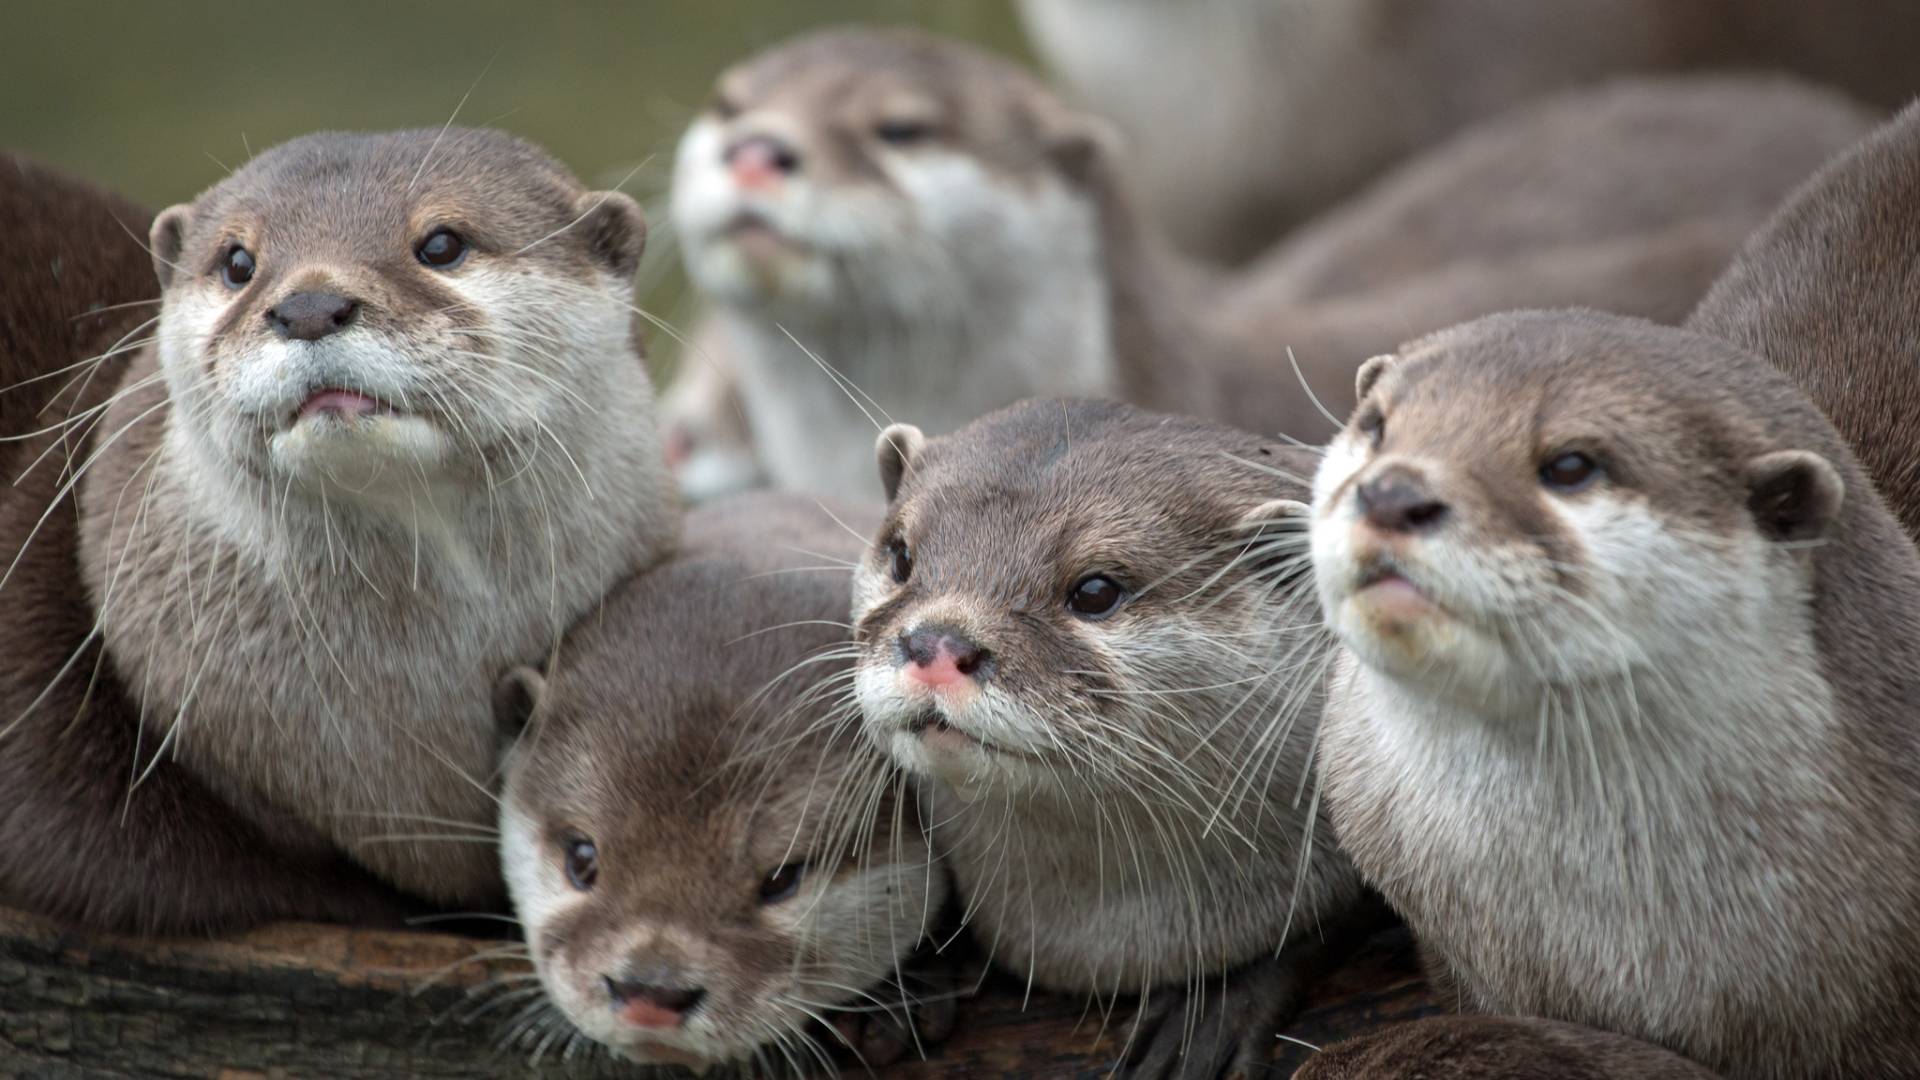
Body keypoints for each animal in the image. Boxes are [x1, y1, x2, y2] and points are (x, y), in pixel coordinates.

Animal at [848, 398, 1367, 1076]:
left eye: (1095, 591)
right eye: (901, 556)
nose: (936, 641)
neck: (1091, 945)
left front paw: (1216, 1005)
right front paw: (913, 976)